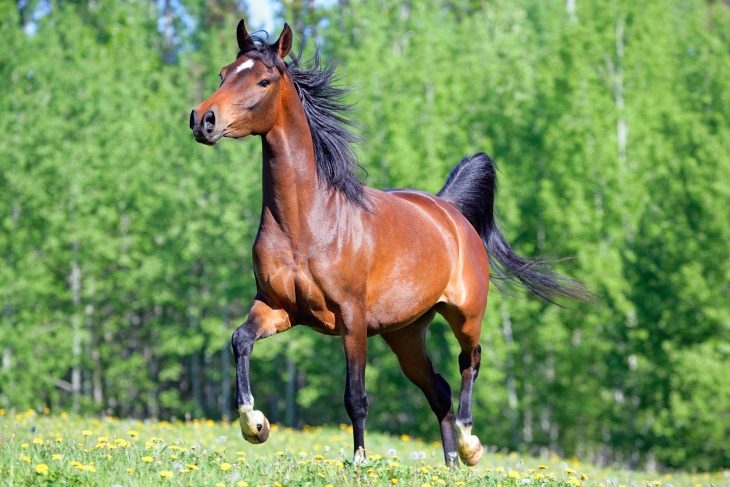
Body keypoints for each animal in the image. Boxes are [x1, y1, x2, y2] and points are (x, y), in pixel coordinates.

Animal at [189, 20, 588, 467]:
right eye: (223, 73)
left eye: (263, 80)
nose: (203, 120)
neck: (307, 224)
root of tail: (451, 213)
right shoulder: (277, 307)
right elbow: (240, 340)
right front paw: (255, 425)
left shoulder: (351, 318)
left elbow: (356, 397)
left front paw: (360, 461)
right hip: (406, 334)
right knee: (439, 390)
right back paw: (450, 465)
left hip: (466, 315)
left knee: (469, 362)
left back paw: (469, 446)